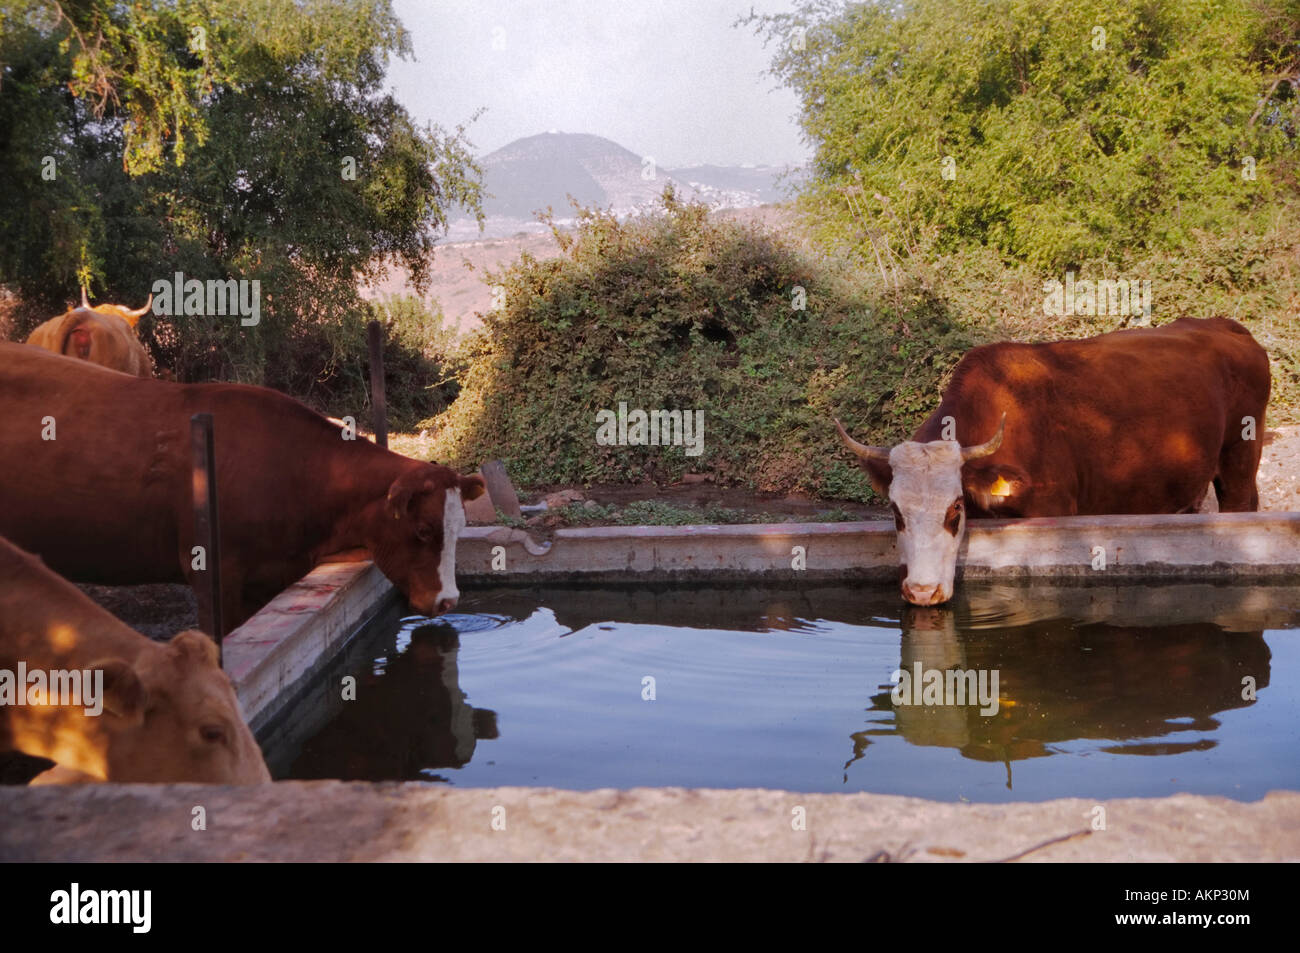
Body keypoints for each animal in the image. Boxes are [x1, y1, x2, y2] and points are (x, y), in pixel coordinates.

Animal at [835, 317, 1271, 606]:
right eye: (896, 512)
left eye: (955, 509)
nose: (922, 592)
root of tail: (1224, 326)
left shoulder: (1054, 509)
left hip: (1240, 459)